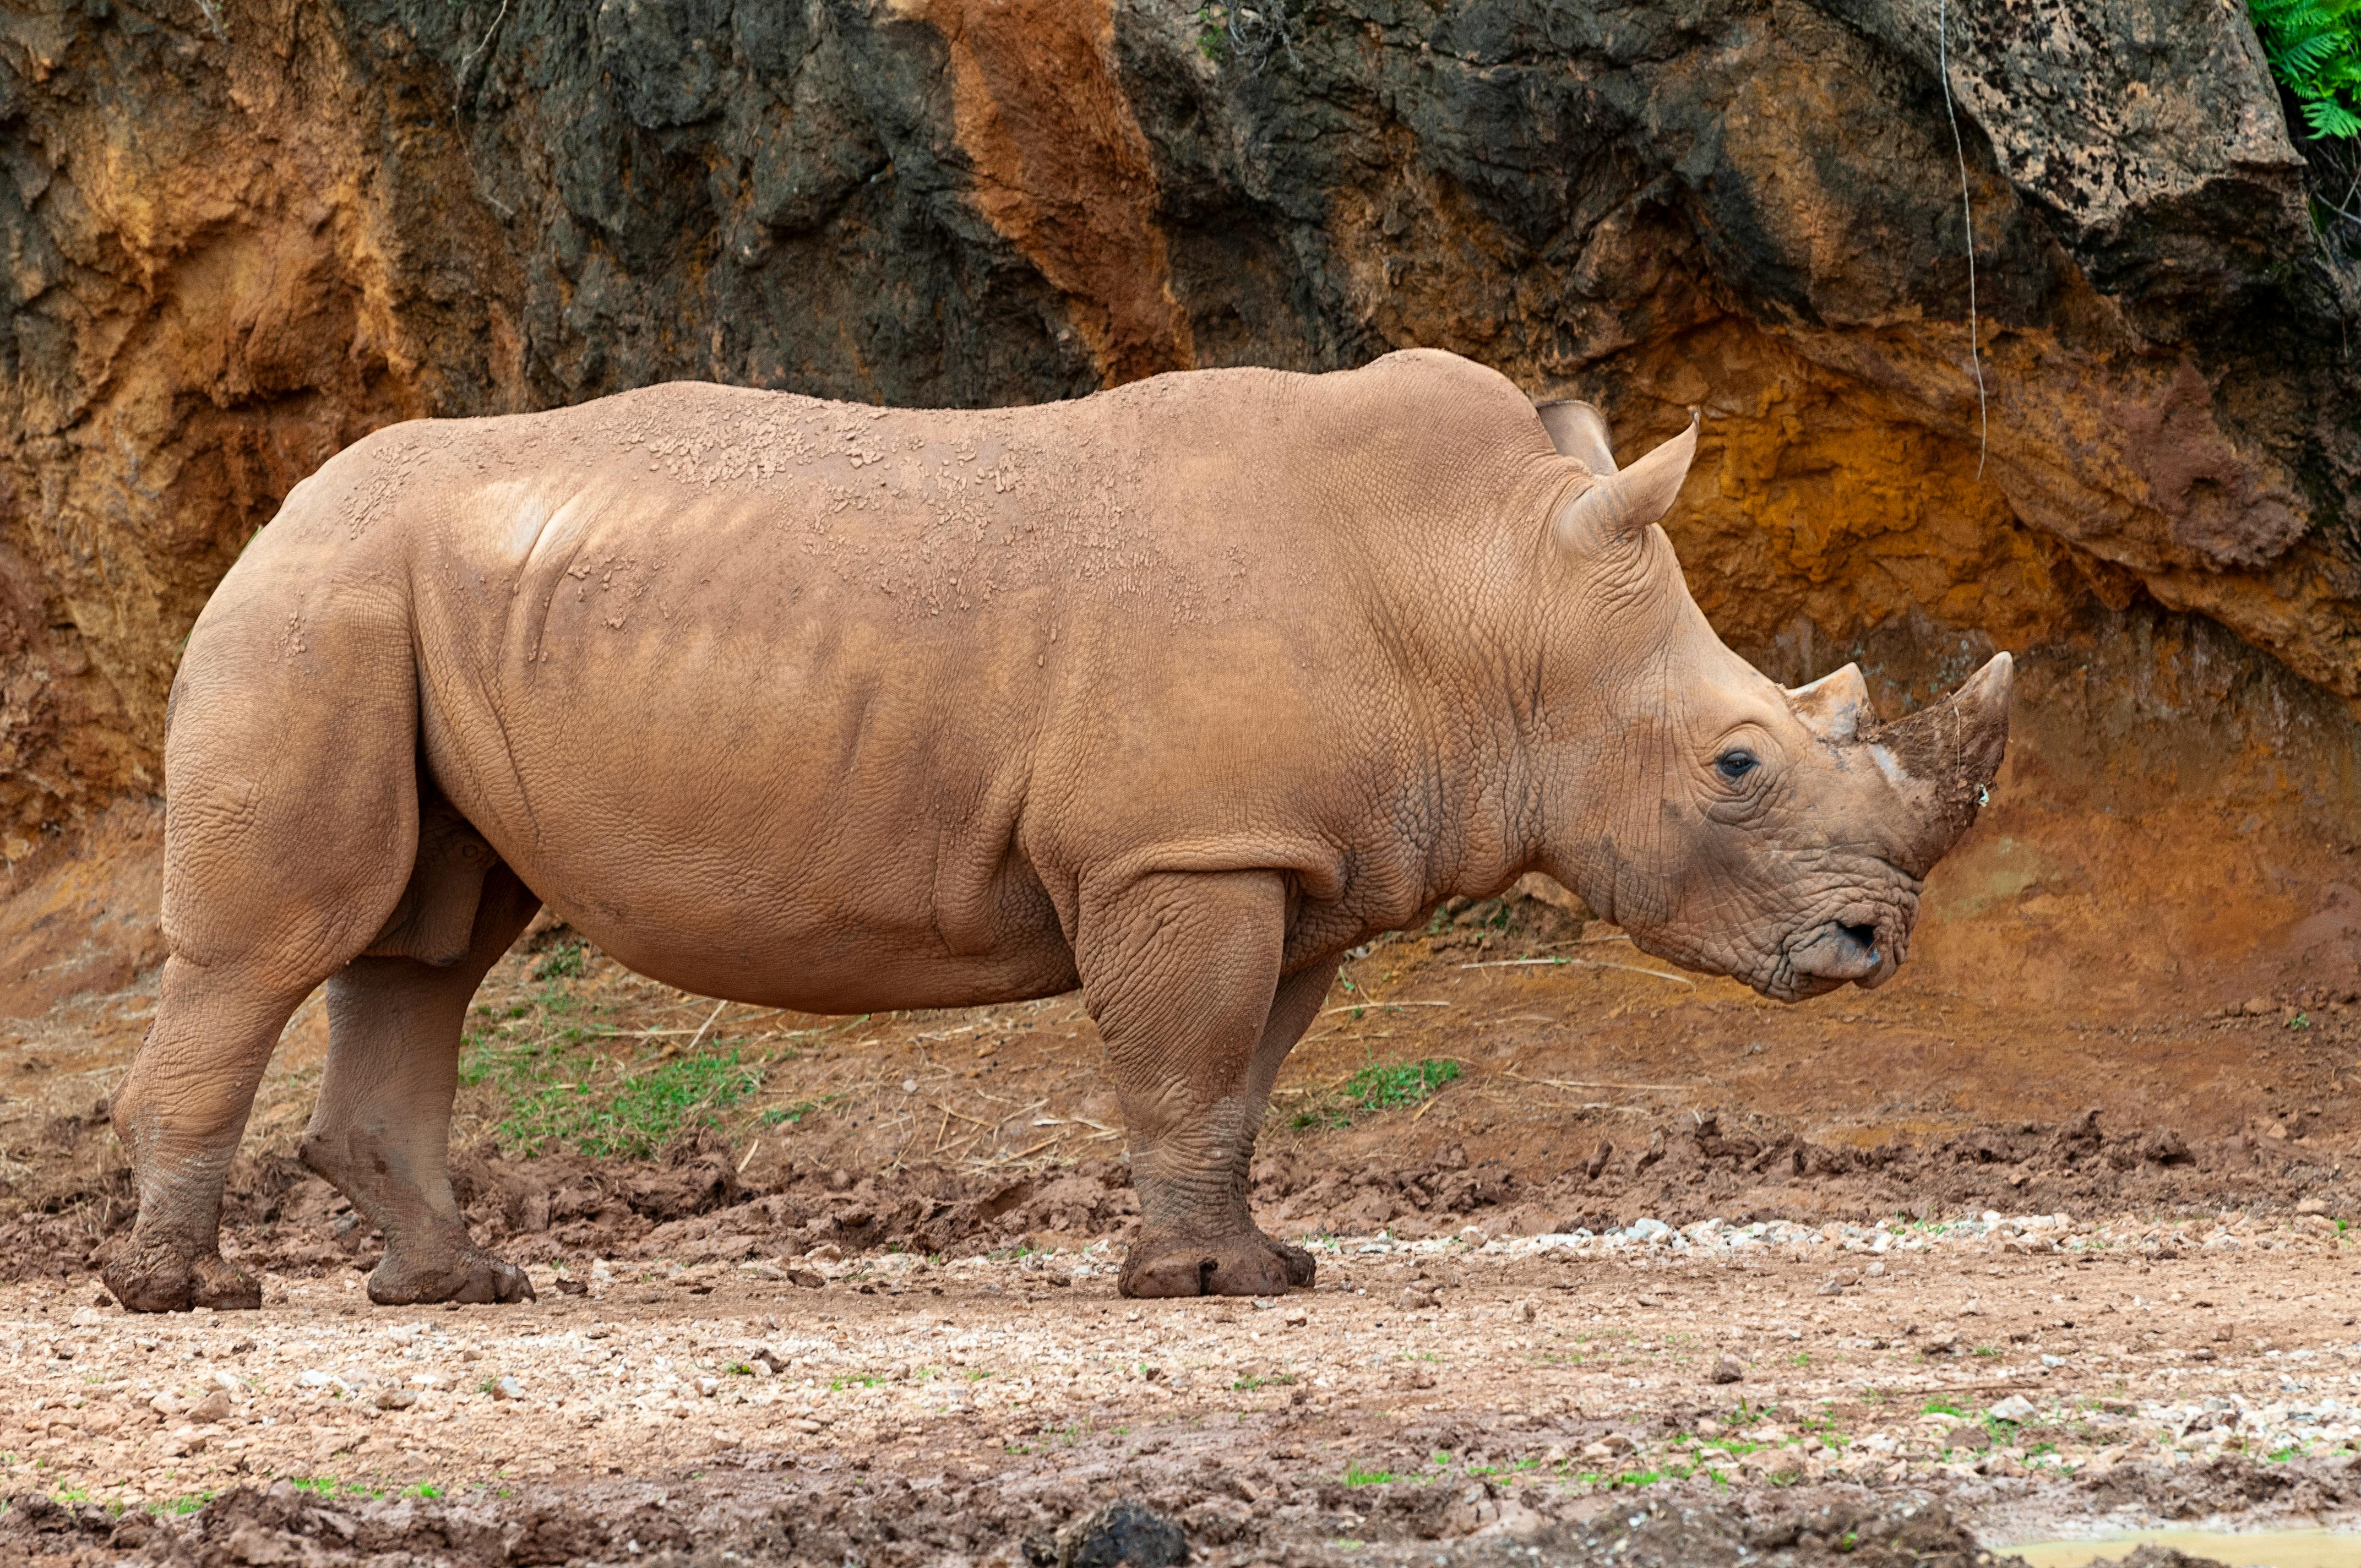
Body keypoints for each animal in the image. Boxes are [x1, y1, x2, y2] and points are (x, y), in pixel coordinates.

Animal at [101, 349, 2010, 1312]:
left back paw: (460, 1286)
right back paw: (186, 1297)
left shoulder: (1284, 857)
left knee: (427, 942)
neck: (1485, 595)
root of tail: (276, 507)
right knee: (283, 943)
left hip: (405, 603)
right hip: (316, 599)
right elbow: (1183, 1057)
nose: (1875, 944)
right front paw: (1192, 1286)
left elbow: (1241, 1074)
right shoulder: (1182, 849)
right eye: (1737, 764)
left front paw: (1257, 1269)